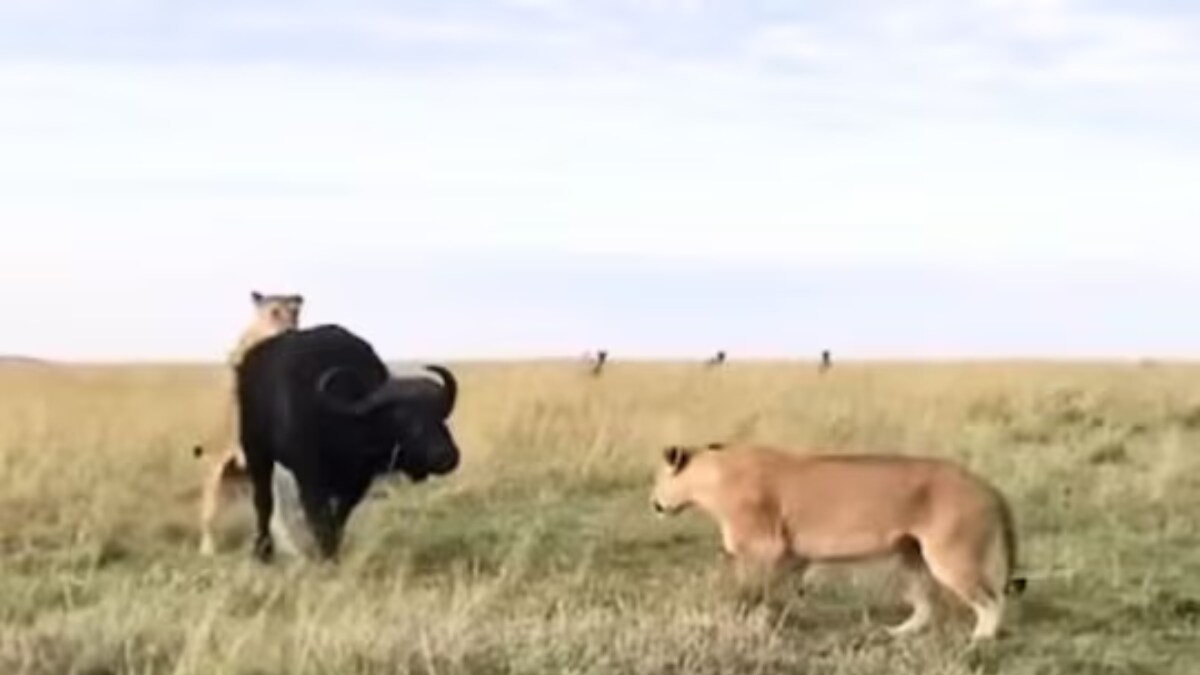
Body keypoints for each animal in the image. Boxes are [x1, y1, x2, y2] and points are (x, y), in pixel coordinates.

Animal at [235, 323, 461, 562]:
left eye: (439, 413)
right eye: (400, 418)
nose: (445, 456)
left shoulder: (356, 484)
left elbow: (339, 519)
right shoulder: (309, 478)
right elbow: (319, 519)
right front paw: (326, 557)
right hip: (255, 451)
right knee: (263, 502)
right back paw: (263, 551)